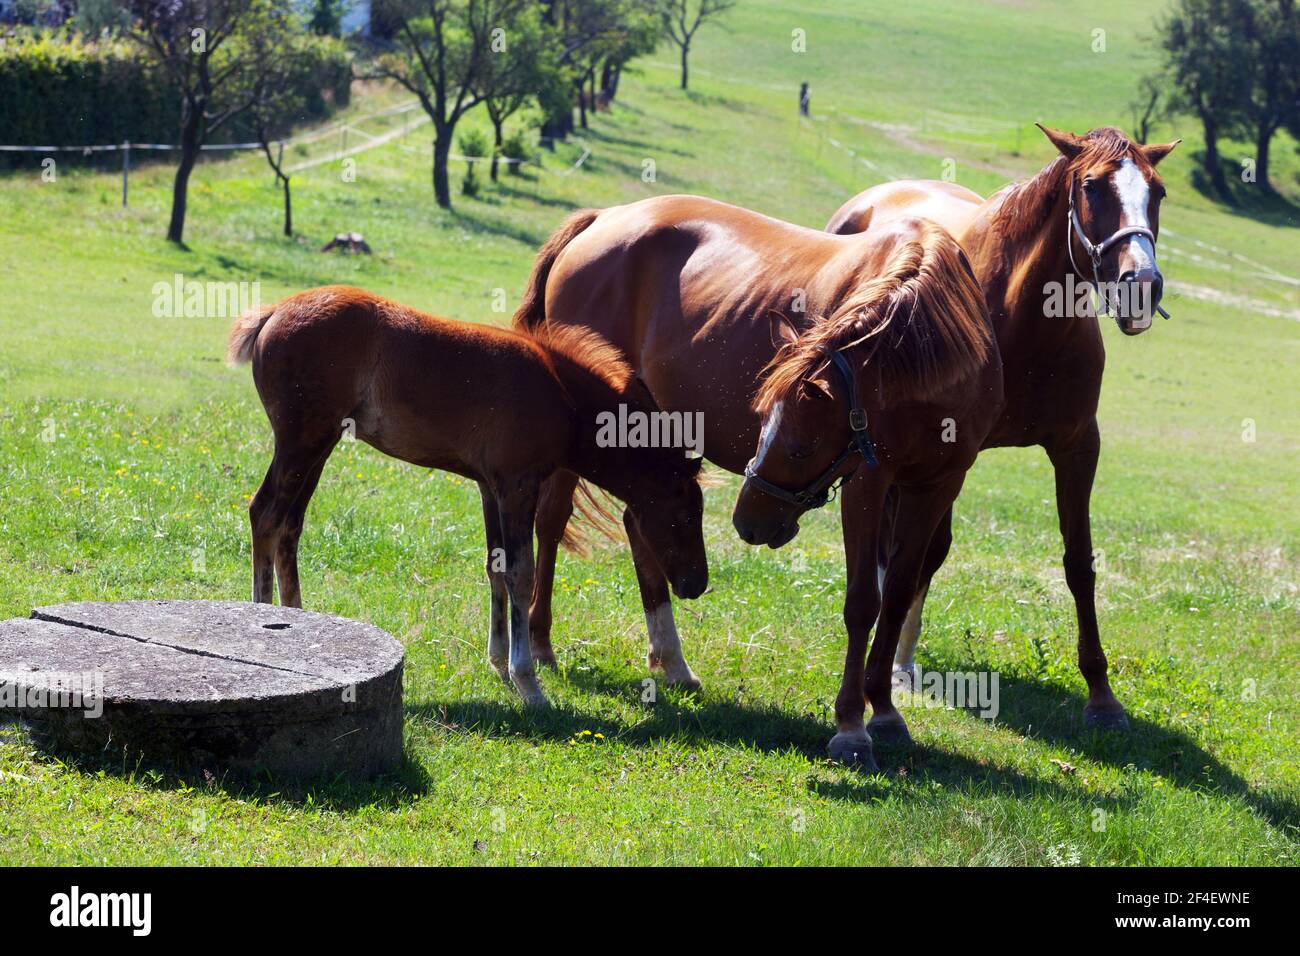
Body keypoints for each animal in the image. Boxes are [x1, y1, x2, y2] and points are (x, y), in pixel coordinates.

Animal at [227, 285, 708, 707]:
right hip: (302, 440)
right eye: (687, 513)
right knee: (265, 514)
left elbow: (495, 567)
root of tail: (272, 313)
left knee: (289, 525)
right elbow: (521, 574)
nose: (696, 584)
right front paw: (527, 682)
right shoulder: (518, 484)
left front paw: (497, 664)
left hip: (320, 444)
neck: (560, 390)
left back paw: (301, 620)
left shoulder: (489, 487)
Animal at [514, 197, 1000, 767]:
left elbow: (898, 596)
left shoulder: (937, 486)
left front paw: (883, 709)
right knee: (552, 521)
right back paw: (541, 642)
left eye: (801, 447)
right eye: (761, 420)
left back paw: (671, 660)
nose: (747, 520)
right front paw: (851, 726)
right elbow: (864, 602)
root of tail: (603, 216)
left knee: (641, 523)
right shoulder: (866, 484)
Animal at [826, 125, 1180, 728]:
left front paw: (1102, 694)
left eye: (1156, 192)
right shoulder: (948, 454)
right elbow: (919, 554)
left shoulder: (1077, 447)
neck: (1024, 318)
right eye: (1091, 186)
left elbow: (1079, 564)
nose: (1142, 284)